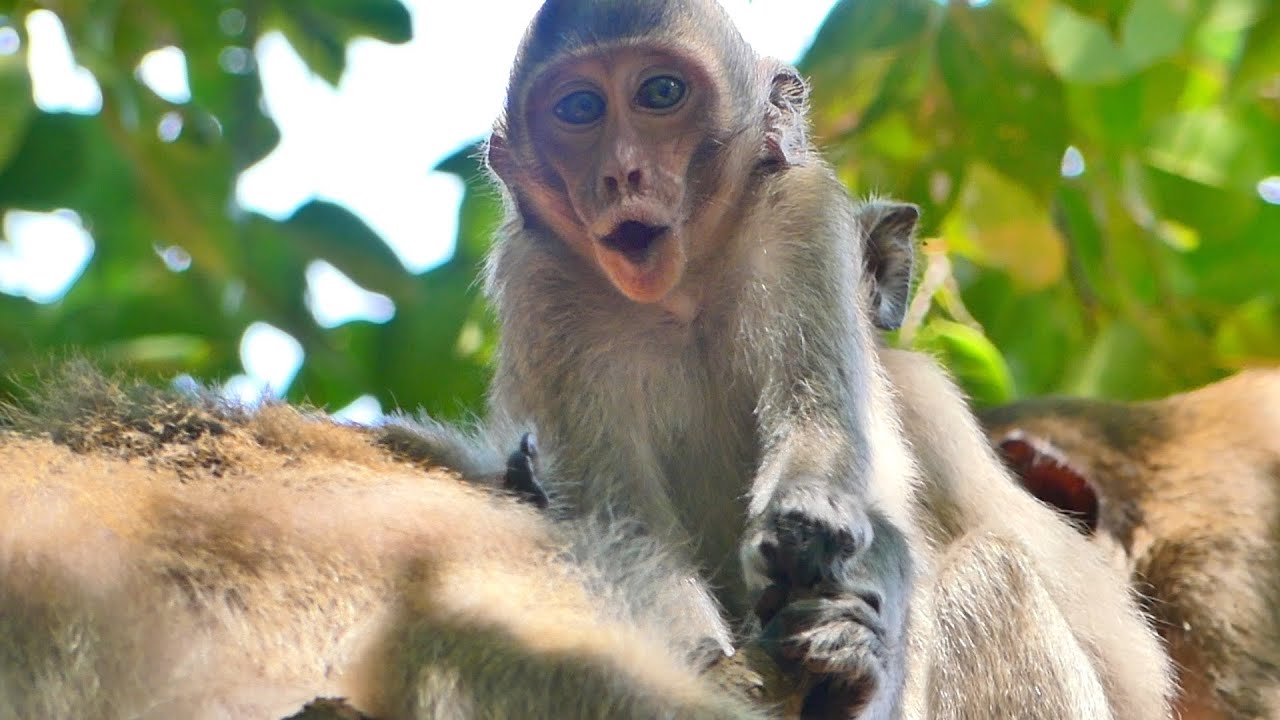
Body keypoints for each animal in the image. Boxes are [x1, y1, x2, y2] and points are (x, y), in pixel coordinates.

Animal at [379, 1, 1174, 716]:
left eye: (659, 94)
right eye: (579, 109)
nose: (622, 174)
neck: (682, 292)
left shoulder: (803, 220)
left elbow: (823, 427)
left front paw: (833, 569)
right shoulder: (539, 284)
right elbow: (621, 523)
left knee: (995, 574)